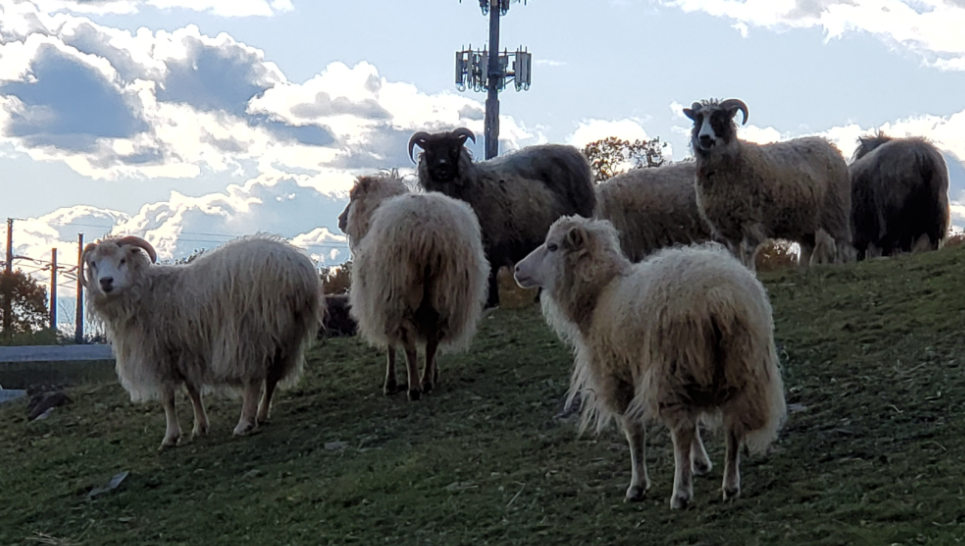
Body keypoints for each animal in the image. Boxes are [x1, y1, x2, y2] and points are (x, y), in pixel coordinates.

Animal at [81, 234, 324, 450]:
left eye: (122, 260)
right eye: (93, 263)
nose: (105, 282)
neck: (145, 293)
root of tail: (296, 269)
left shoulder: (160, 354)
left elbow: (168, 398)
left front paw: (171, 436)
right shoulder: (186, 352)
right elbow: (193, 390)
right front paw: (200, 427)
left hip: (249, 333)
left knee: (253, 380)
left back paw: (245, 423)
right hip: (288, 335)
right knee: (273, 377)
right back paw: (262, 414)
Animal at [338, 172, 489, 401]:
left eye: (353, 196)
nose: (340, 220)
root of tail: (427, 232)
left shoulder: (382, 299)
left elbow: (391, 345)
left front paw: (390, 383)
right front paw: (435, 373)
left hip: (399, 292)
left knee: (408, 341)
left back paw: (415, 387)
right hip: (446, 291)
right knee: (433, 337)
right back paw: (426, 381)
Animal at [408, 127, 595, 308]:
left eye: (453, 149)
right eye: (430, 150)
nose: (442, 167)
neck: (473, 184)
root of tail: (574, 154)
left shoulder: (491, 236)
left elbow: (491, 269)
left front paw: (490, 302)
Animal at [514, 215, 786, 509]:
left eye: (552, 246)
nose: (517, 269)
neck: (600, 294)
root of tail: (721, 298)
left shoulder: (620, 375)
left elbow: (634, 431)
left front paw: (638, 485)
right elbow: (695, 420)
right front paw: (700, 463)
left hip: (673, 364)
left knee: (682, 430)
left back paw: (681, 493)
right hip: (742, 367)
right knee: (733, 425)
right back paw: (731, 485)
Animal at [683, 98, 853, 270]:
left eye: (719, 118)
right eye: (697, 120)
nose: (704, 138)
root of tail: (830, 145)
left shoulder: (751, 219)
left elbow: (749, 250)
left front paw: (751, 271)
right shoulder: (727, 225)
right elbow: (736, 253)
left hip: (835, 209)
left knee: (842, 242)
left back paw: (841, 264)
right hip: (804, 217)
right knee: (808, 245)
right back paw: (802, 269)